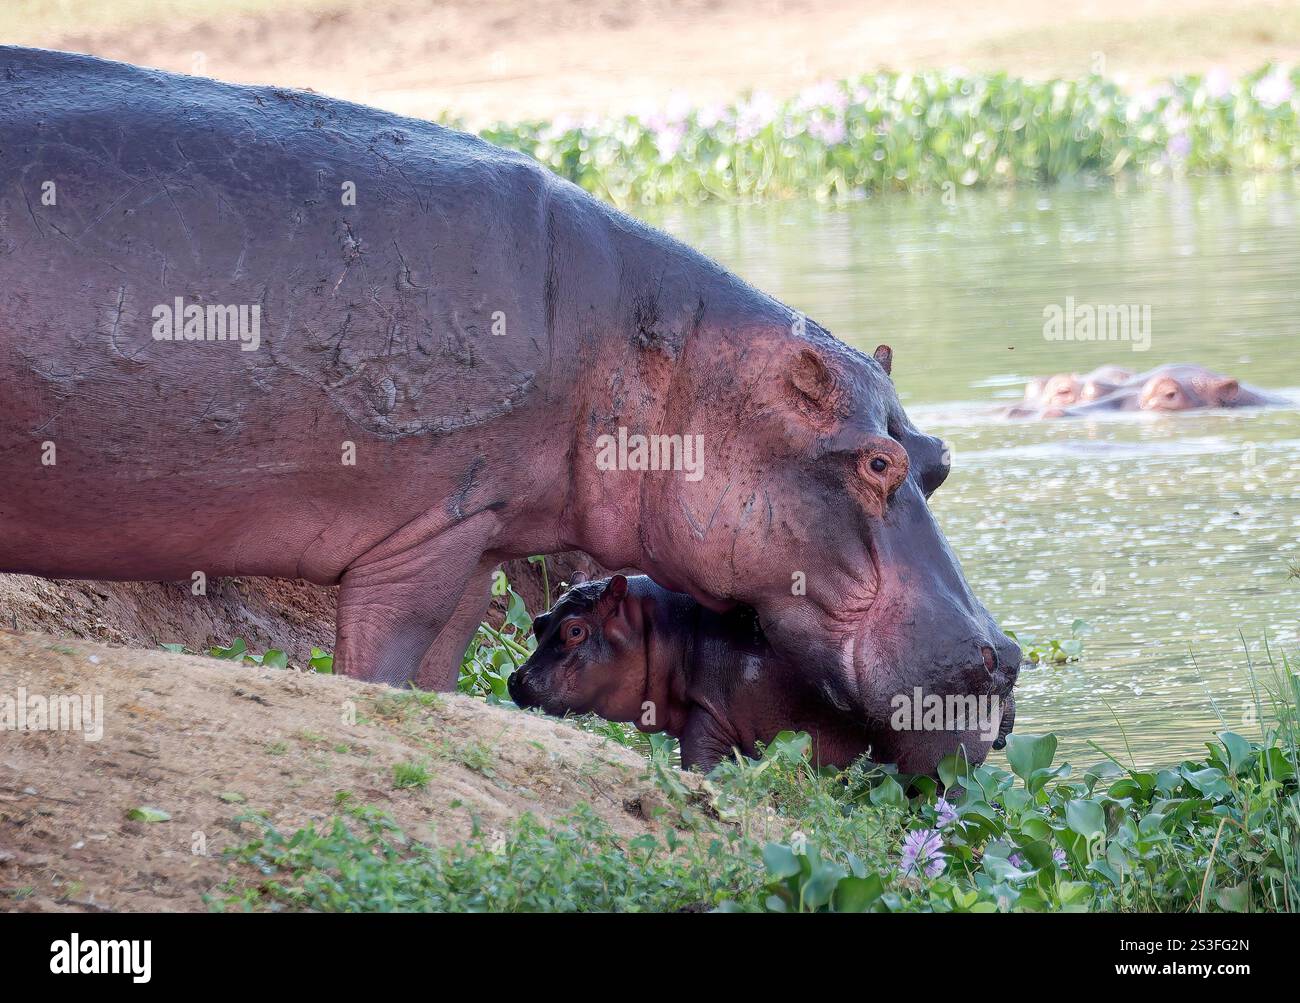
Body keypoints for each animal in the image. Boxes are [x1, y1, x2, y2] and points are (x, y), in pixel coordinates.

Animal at [509, 575, 1015, 773]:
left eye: (576, 630)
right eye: (538, 623)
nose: (514, 681)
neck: (658, 628)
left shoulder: (708, 713)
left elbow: (698, 763)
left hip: (936, 762)